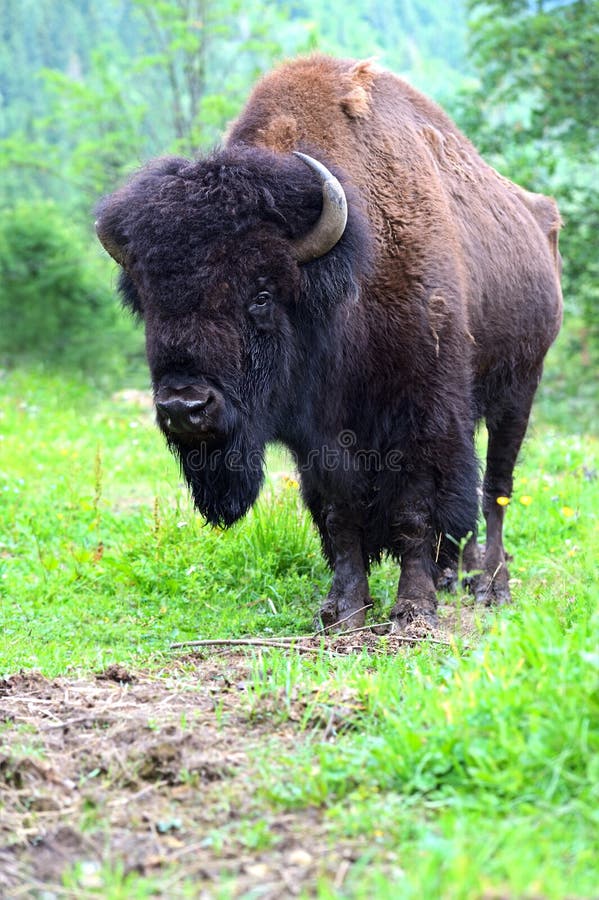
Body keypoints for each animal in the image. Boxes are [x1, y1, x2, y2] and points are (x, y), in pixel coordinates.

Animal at [95, 55, 563, 633]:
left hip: (518, 389)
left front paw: (413, 610)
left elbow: (416, 509)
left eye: (262, 294)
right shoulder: (317, 437)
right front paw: (344, 610)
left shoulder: (423, 415)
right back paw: (456, 578)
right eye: (147, 300)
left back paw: (492, 587)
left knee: (495, 487)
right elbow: (340, 513)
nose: (185, 406)